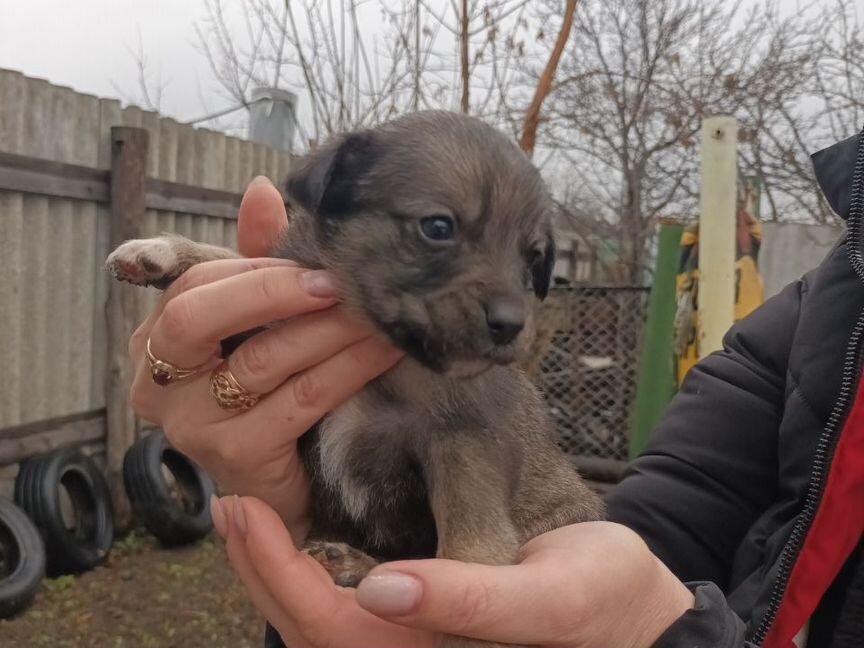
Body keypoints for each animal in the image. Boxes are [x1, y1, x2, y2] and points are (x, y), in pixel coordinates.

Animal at [106, 111, 600, 648]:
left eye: (533, 257)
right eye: (438, 227)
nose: (511, 325)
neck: (387, 351)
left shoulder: (463, 444)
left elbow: (470, 545)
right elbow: (235, 265)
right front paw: (164, 252)